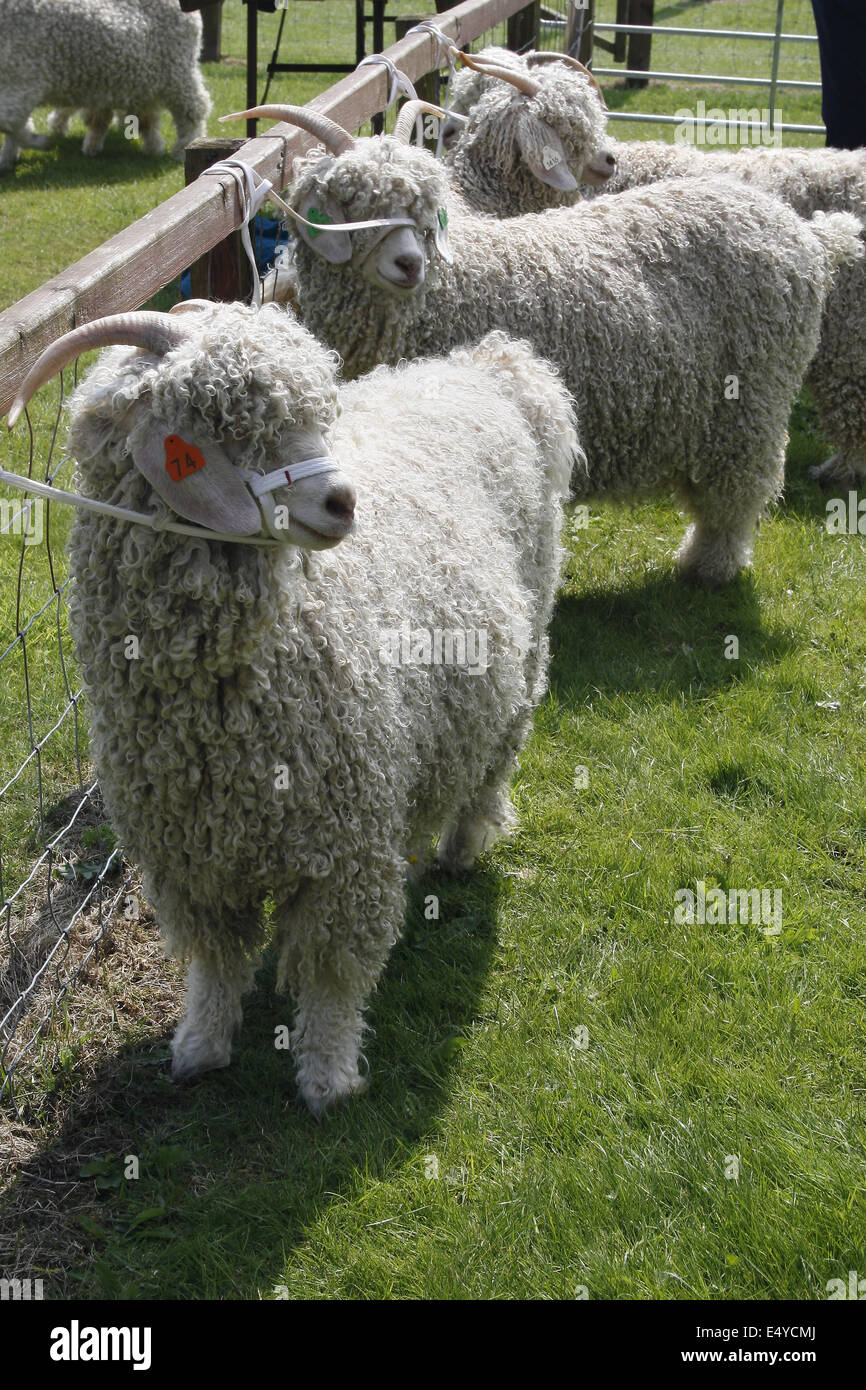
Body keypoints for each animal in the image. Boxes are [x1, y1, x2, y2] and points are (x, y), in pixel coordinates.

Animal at [0, 0, 211, 170]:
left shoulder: (26, 78)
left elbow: (8, 122)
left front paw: (39, 142)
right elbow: (12, 124)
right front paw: (7, 159)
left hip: (176, 70)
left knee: (194, 108)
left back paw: (184, 147)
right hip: (138, 78)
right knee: (143, 117)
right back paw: (150, 146)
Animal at [6, 300, 578, 1114]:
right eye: (223, 426)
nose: (343, 503)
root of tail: (496, 366)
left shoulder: (348, 844)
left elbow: (335, 974)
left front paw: (328, 1074)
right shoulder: (189, 855)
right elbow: (214, 960)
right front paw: (201, 1045)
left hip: (526, 661)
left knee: (491, 769)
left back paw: (461, 848)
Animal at [228, 103, 862, 587]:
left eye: (422, 211)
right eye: (353, 204)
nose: (409, 264)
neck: (446, 287)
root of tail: (806, 235)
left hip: (749, 401)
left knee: (736, 495)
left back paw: (709, 566)